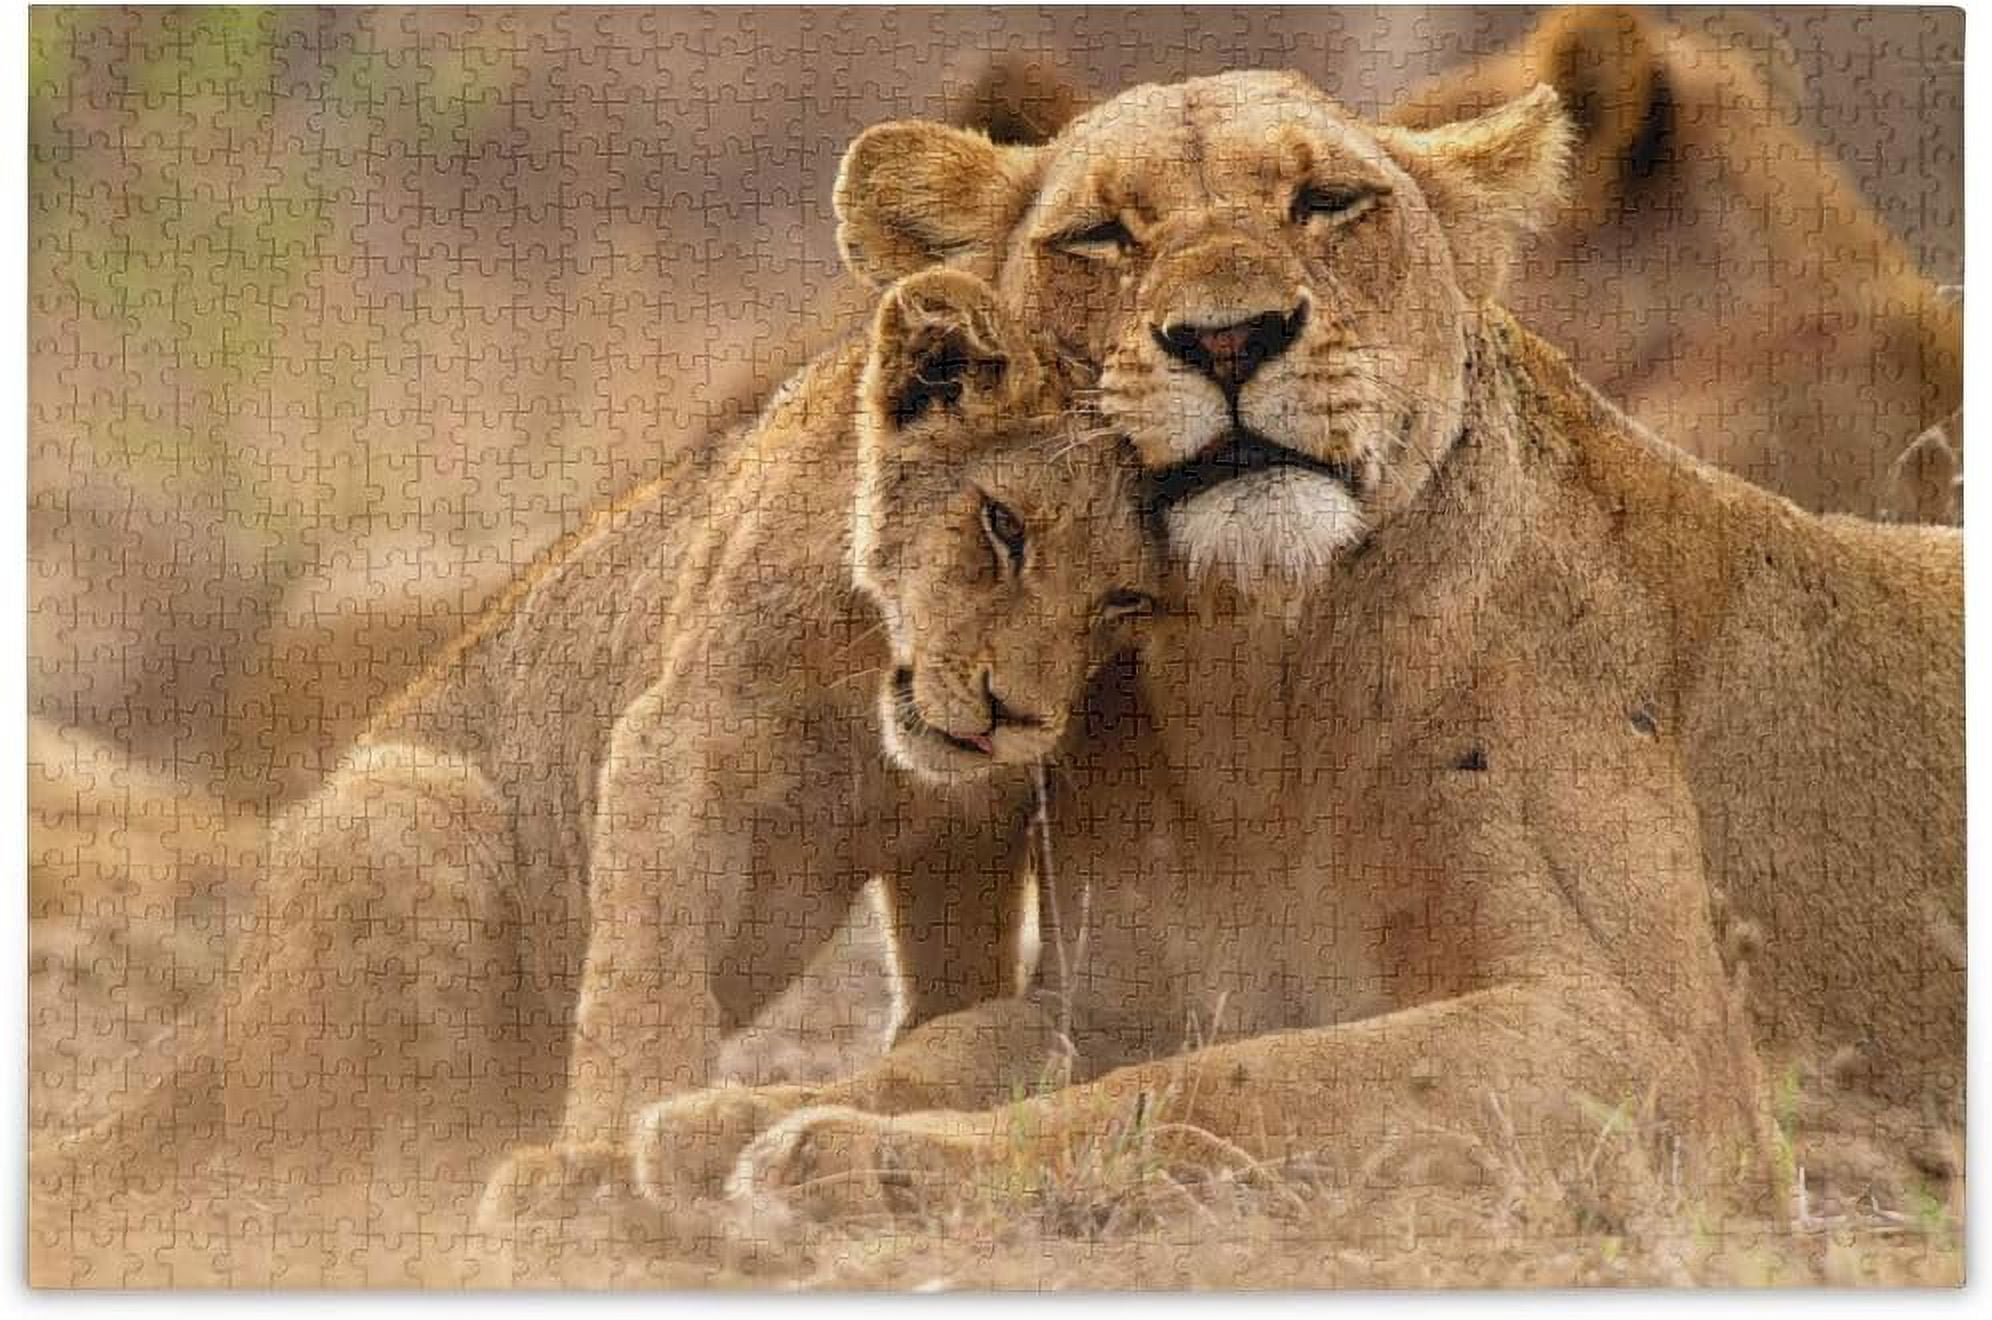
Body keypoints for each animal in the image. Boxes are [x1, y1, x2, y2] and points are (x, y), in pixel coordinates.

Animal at [34, 269, 1158, 1262]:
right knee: (349, 1157)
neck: (870, 689)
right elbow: (644, 981)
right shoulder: (676, 743)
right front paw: (600, 1160)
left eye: (1124, 602)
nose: (1015, 716)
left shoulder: (966, 824)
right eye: (1003, 525)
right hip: (410, 798)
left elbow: (954, 979)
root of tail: (210, 1026)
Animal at [623, 72, 1960, 1233]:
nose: (1230, 339)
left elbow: (1235, 1085)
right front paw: (722, 1116)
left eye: (1328, 202)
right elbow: (953, 1047)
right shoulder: (1126, 993)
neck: (1254, 688)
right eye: (1099, 235)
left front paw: (854, 1158)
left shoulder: (1649, 1048)